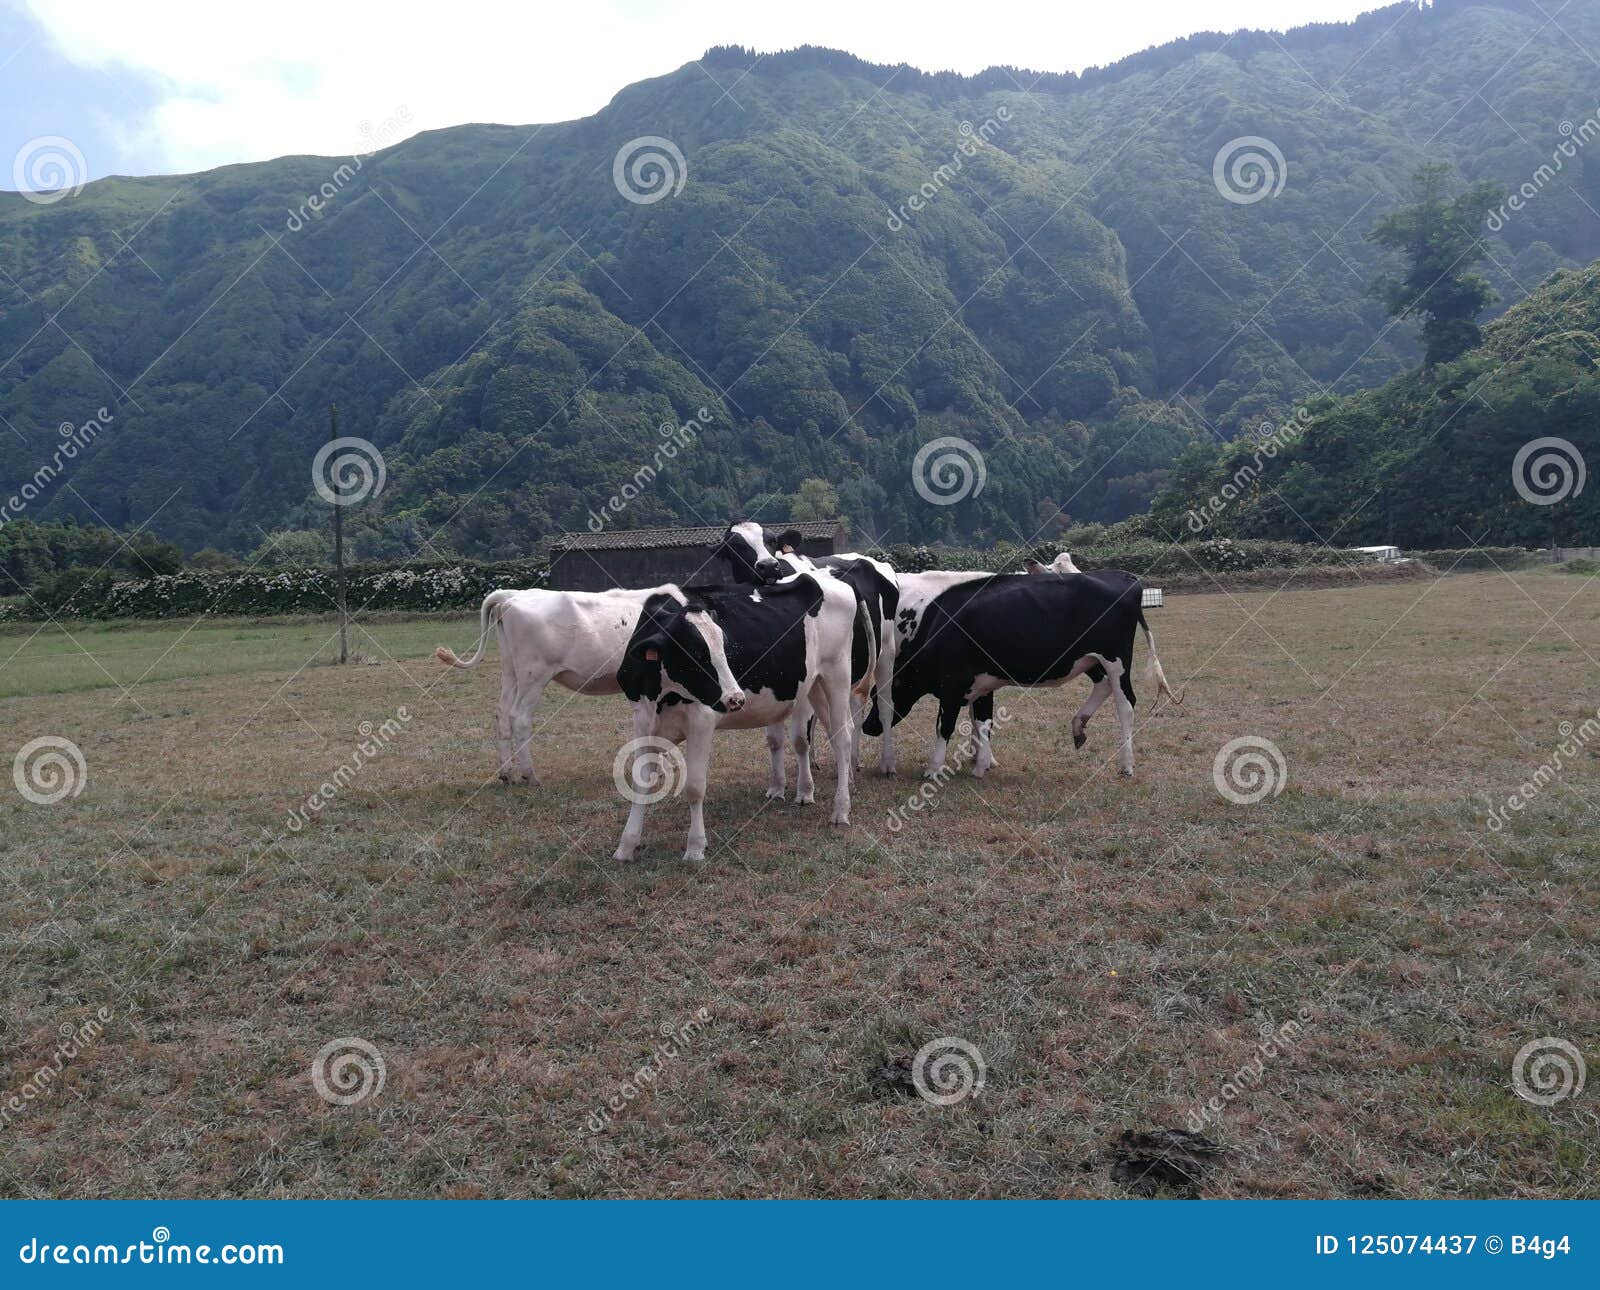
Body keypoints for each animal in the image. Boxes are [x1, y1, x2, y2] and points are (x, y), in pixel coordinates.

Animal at [435, 585, 690, 784]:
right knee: (519, 717)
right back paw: (529, 775)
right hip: (534, 676)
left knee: (503, 713)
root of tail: (511, 595)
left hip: (510, 672)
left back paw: (506, 774)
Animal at [612, 571, 860, 861]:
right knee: (836, 732)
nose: (735, 698)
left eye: (724, 645)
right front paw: (626, 846)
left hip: (837, 673)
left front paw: (695, 847)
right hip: (815, 685)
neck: (659, 695)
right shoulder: (642, 719)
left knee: (843, 739)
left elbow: (694, 787)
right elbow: (640, 783)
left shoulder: (701, 720)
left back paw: (841, 810)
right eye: (692, 653)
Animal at [864, 568, 1179, 777]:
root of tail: (1125, 578)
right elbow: (982, 722)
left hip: (1116, 659)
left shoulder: (953, 686)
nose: (868, 726)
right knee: (1102, 686)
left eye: (878, 696)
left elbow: (945, 726)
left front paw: (933, 768)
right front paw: (982, 765)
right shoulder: (982, 684)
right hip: (1090, 660)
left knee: (1126, 704)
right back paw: (1079, 725)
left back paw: (1126, 764)